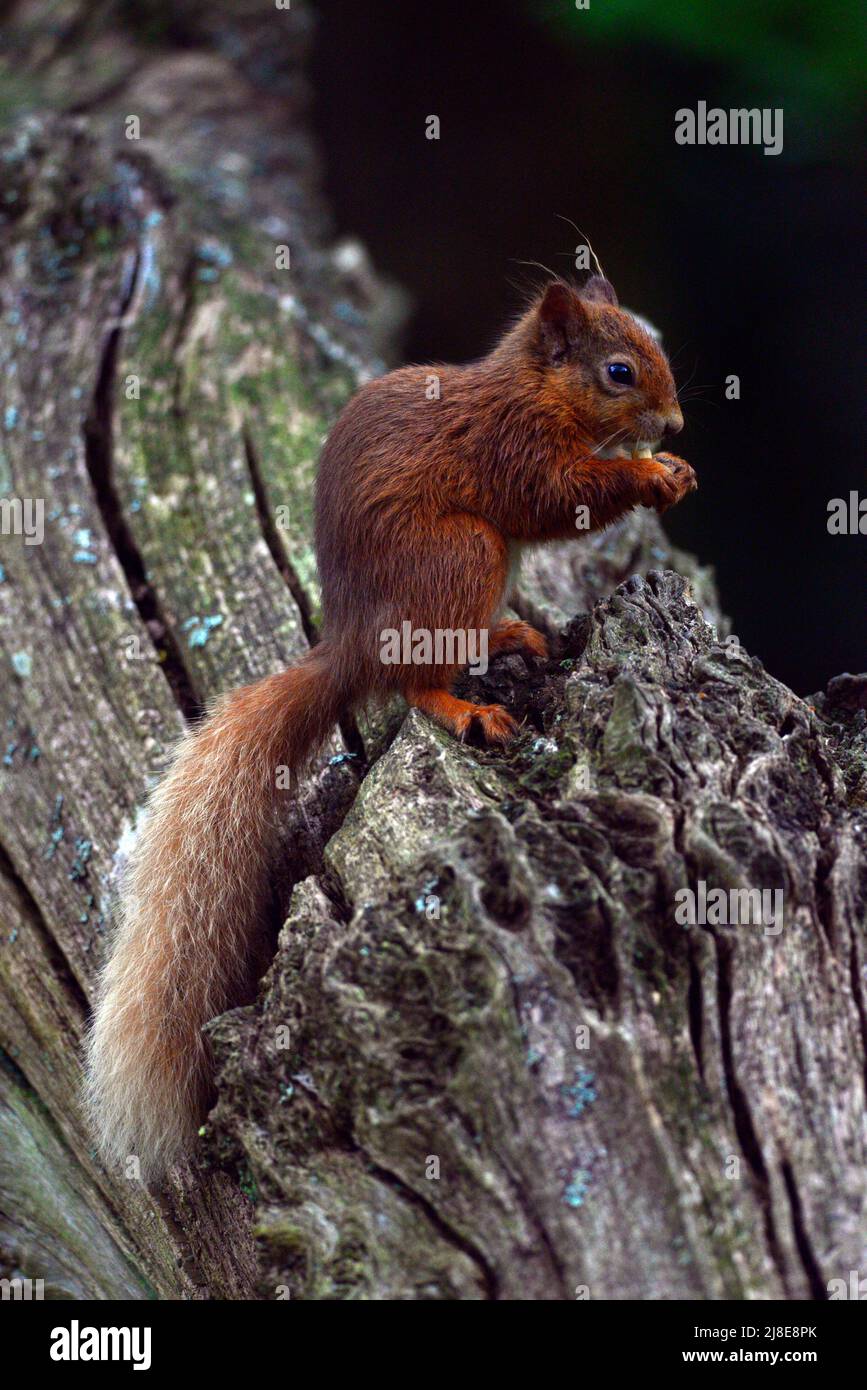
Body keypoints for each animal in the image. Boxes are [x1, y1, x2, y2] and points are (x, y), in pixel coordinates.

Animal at [85, 275, 696, 1179]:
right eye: (619, 371)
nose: (675, 425)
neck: (533, 391)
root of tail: (351, 646)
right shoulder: (512, 451)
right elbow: (558, 498)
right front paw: (651, 474)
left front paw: (671, 467)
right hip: (463, 554)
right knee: (415, 686)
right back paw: (466, 707)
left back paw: (507, 638)